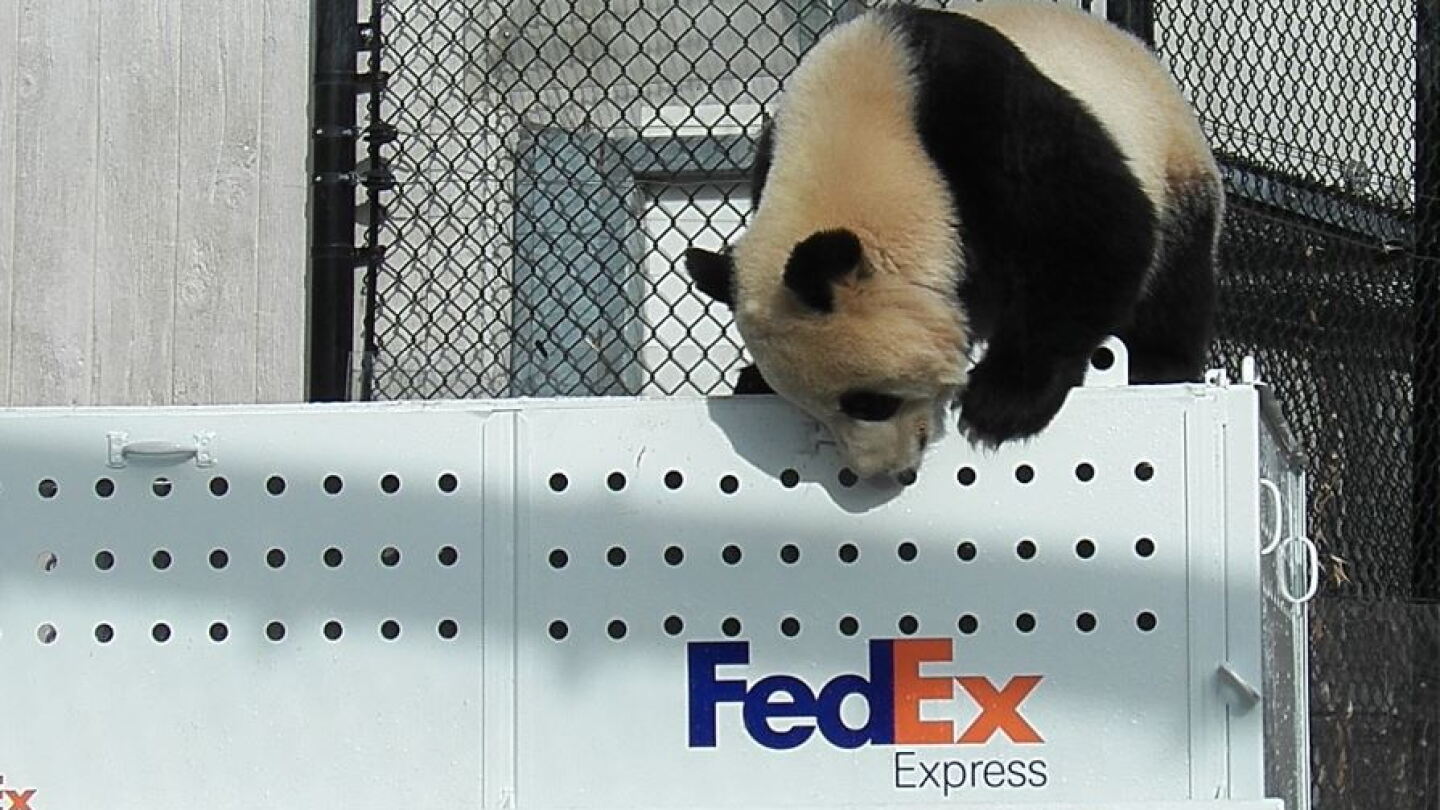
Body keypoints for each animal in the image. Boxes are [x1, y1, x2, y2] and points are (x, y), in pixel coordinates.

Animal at [684, 1, 1222, 480]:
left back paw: (1160, 364)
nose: (886, 474)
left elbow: (1094, 231)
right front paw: (752, 379)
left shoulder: (986, 113)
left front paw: (1002, 403)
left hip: (1172, 162)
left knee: (1173, 285)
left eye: (870, 403)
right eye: (815, 412)